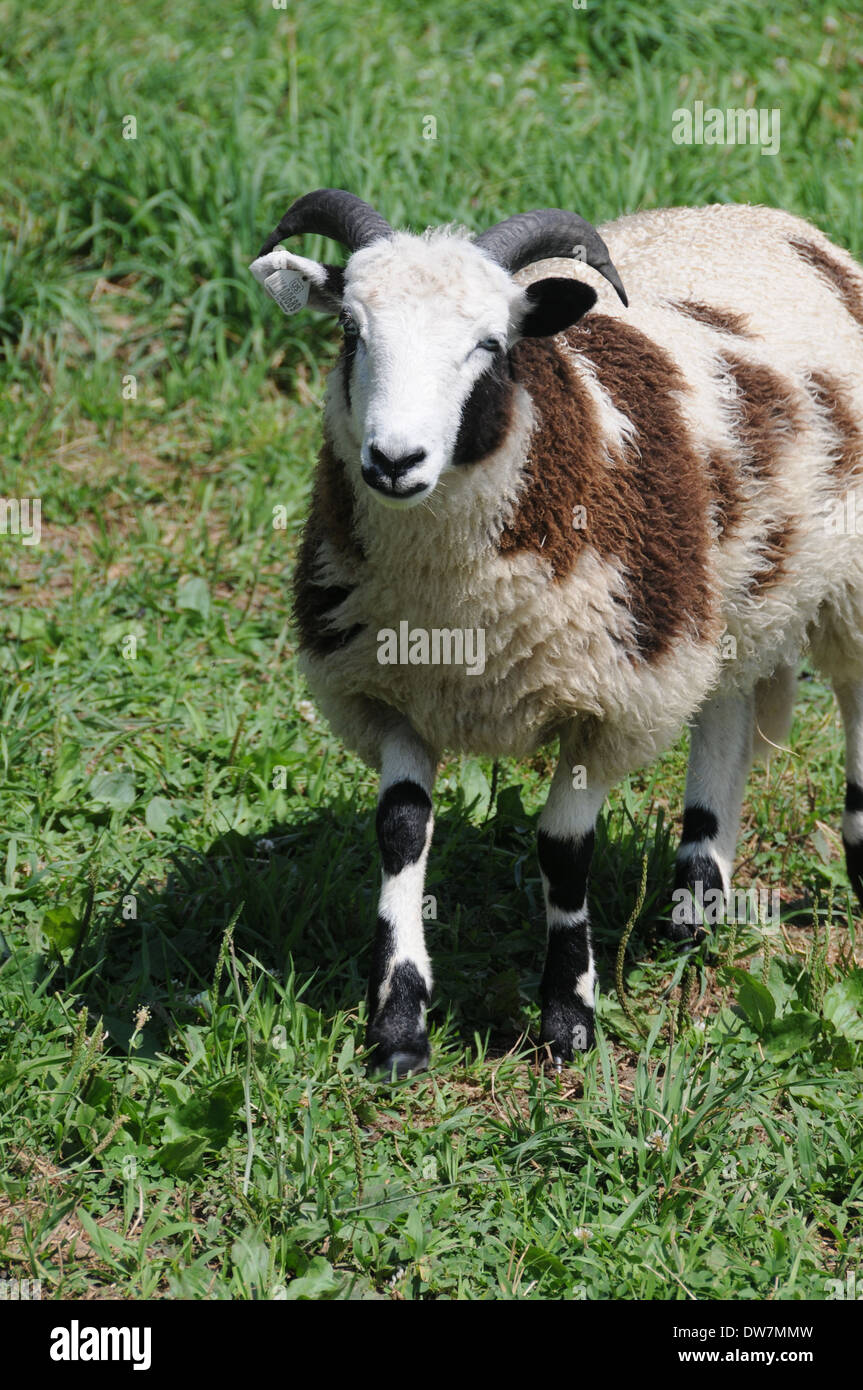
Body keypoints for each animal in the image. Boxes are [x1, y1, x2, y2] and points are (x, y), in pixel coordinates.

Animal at [250, 189, 863, 1077]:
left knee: (852, 698)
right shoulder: (387, 690)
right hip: (714, 597)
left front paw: (568, 1017)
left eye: (489, 345)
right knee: (725, 708)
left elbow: (562, 848)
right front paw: (397, 1028)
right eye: (352, 332)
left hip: (837, 581)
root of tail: (756, 214)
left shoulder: (611, 697)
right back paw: (695, 902)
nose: (393, 461)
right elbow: (400, 831)